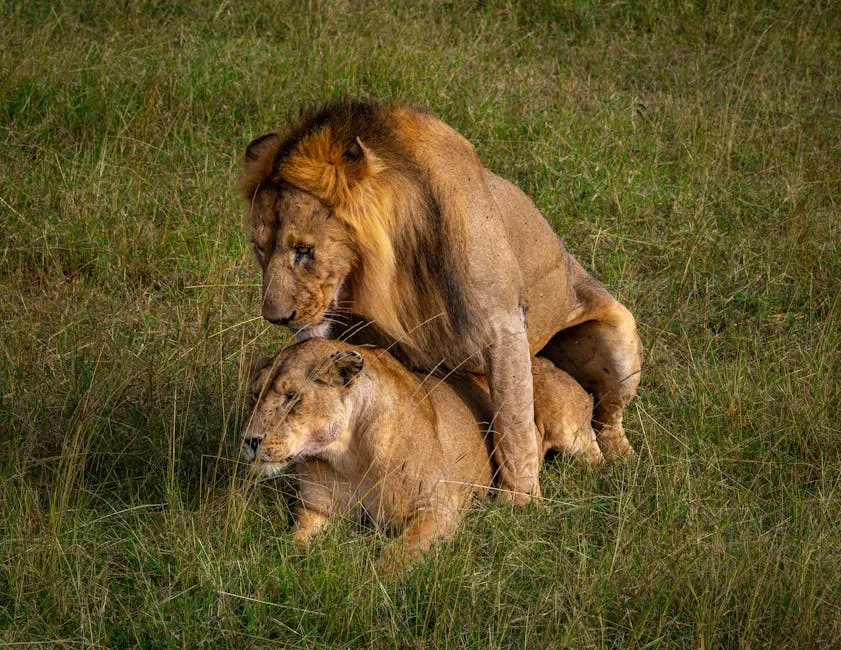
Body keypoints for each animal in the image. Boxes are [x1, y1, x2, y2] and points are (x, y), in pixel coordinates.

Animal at [238, 100, 644, 502]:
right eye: (259, 248)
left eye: (304, 250)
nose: (275, 317)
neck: (394, 271)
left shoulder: (504, 328)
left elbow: (513, 424)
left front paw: (518, 502)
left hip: (619, 335)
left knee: (604, 421)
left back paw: (621, 463)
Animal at [240, 336, 600, 576]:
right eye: (255, 396)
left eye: (291, 398)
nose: (249, 440)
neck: (346, 455)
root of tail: (546, 360)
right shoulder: (317, 509)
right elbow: (292, 542)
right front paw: (284, 567)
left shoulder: (438, 508)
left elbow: (398, 554)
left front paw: (369, 586)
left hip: (566, 428)